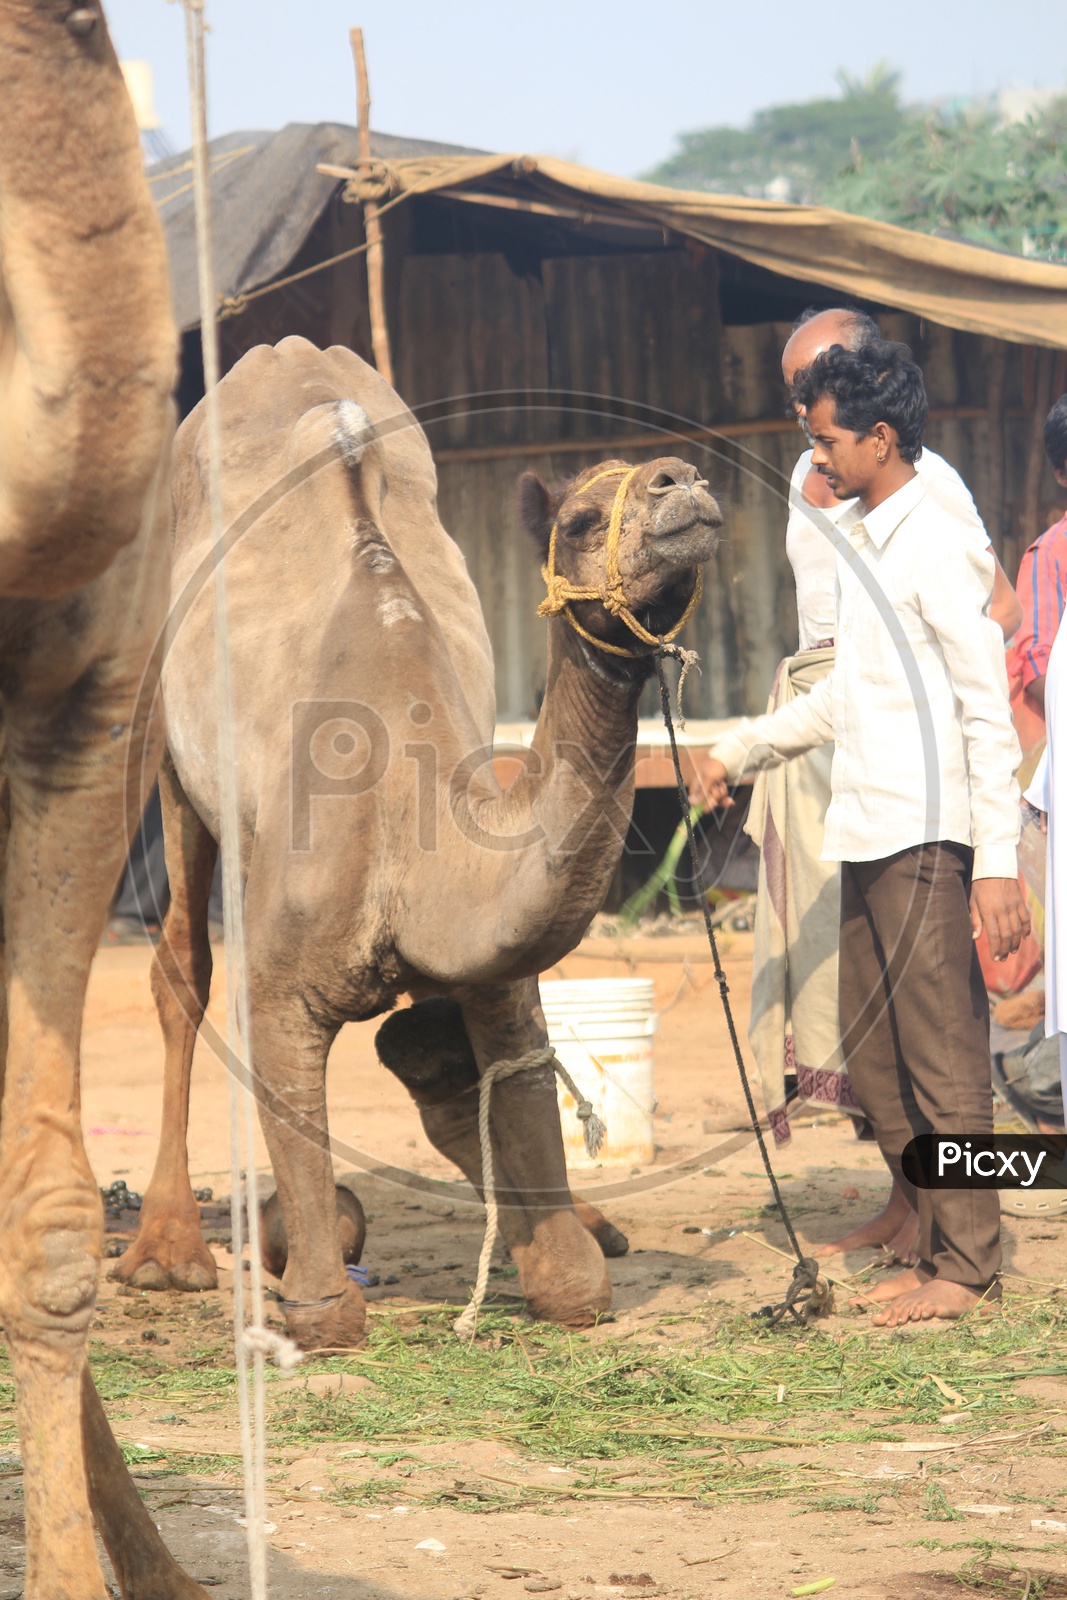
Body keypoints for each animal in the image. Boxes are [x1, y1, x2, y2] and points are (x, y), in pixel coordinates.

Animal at [114, 335, 721, 1349]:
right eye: (582, 519)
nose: (686, 481)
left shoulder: (499, 967)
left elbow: (569, 1267)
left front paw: (566, 1245)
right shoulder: (281, 975)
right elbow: (324, 1295)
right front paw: (312, 1290)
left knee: (419, 1047)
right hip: (173, 749)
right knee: (181, 968)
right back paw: (166, 1251)